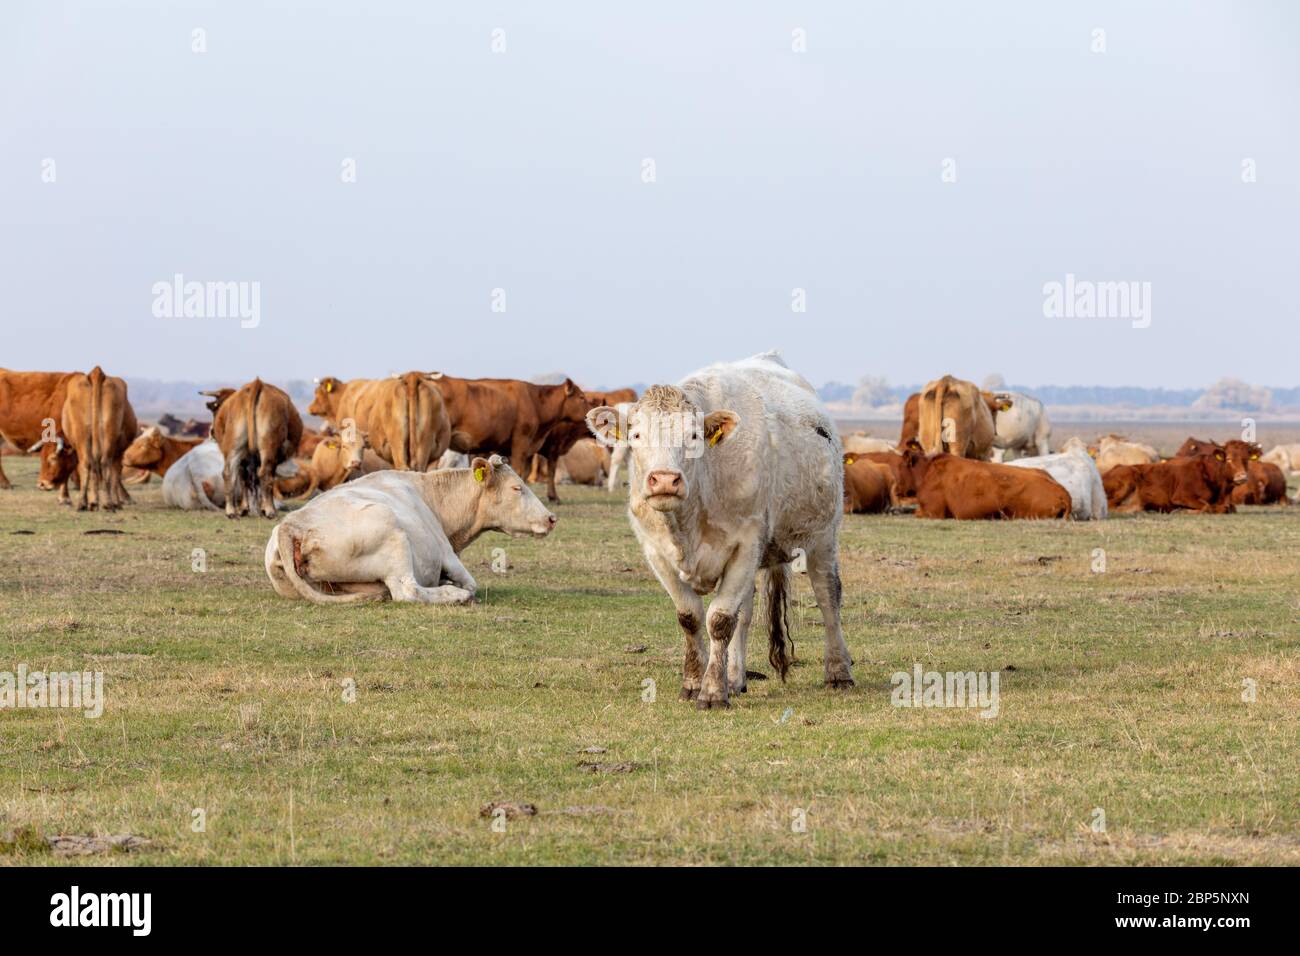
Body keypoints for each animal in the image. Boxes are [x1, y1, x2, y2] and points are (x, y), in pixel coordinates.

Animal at [60, 367, 138, 511]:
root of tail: (96, 372)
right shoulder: (118, 453)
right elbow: (115, 475)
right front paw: (115, 503)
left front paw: (92, 502)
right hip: (108, 434)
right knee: (103, 464)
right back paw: (107, 503)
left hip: (83, 435)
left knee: (89, 464)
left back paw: (84, 503)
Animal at [213, 378, 303, 519]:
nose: (211, 431)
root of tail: (257, 384)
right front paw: (262, 508)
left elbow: (244, 479)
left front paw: (244, 508)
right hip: (269, 446)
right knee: (265, 474)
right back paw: (270, 511)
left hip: (235, 445)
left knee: (229, 473)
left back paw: (231, 511)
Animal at [265, 455, 555, 604]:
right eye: (517, 487)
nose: (551, 518)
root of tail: (291, 524)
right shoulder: (446, 553)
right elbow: (471, 583)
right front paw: (456, 588)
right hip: (393, 537)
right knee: (407, 591)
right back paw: (454, 594)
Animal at [586, 351, 854, 710]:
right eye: (637, 435)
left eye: (693, 436)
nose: (665, 480)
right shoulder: (656, 552)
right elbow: (691, 617)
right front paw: (693, 683)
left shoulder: (747, 544)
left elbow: (720, 620)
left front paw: (712, 692)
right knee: (747, 612)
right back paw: (736, 678)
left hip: (823, 537)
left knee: (828, 598)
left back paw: (838, 672)